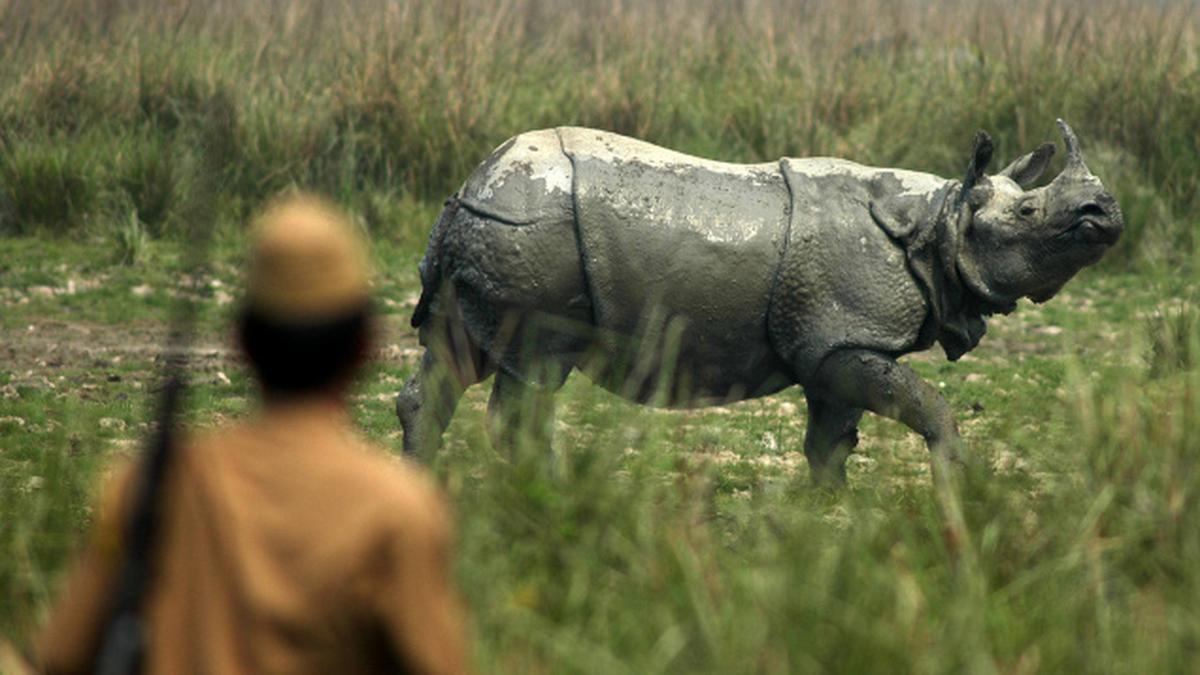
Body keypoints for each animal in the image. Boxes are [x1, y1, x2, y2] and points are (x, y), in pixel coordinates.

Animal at [396, 120, 1123, 483]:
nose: (1107, 213)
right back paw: (550, 493)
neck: (942, 222)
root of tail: (474, 182)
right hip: (533, 229)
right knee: (535, 368)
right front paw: (955, 488)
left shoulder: (832, 341)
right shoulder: (843, 340)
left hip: (500, 230)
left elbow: (831, 440)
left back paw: (425, 487)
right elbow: (927, 406)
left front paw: (828, 516)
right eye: (1030, 214)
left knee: (460, 356)